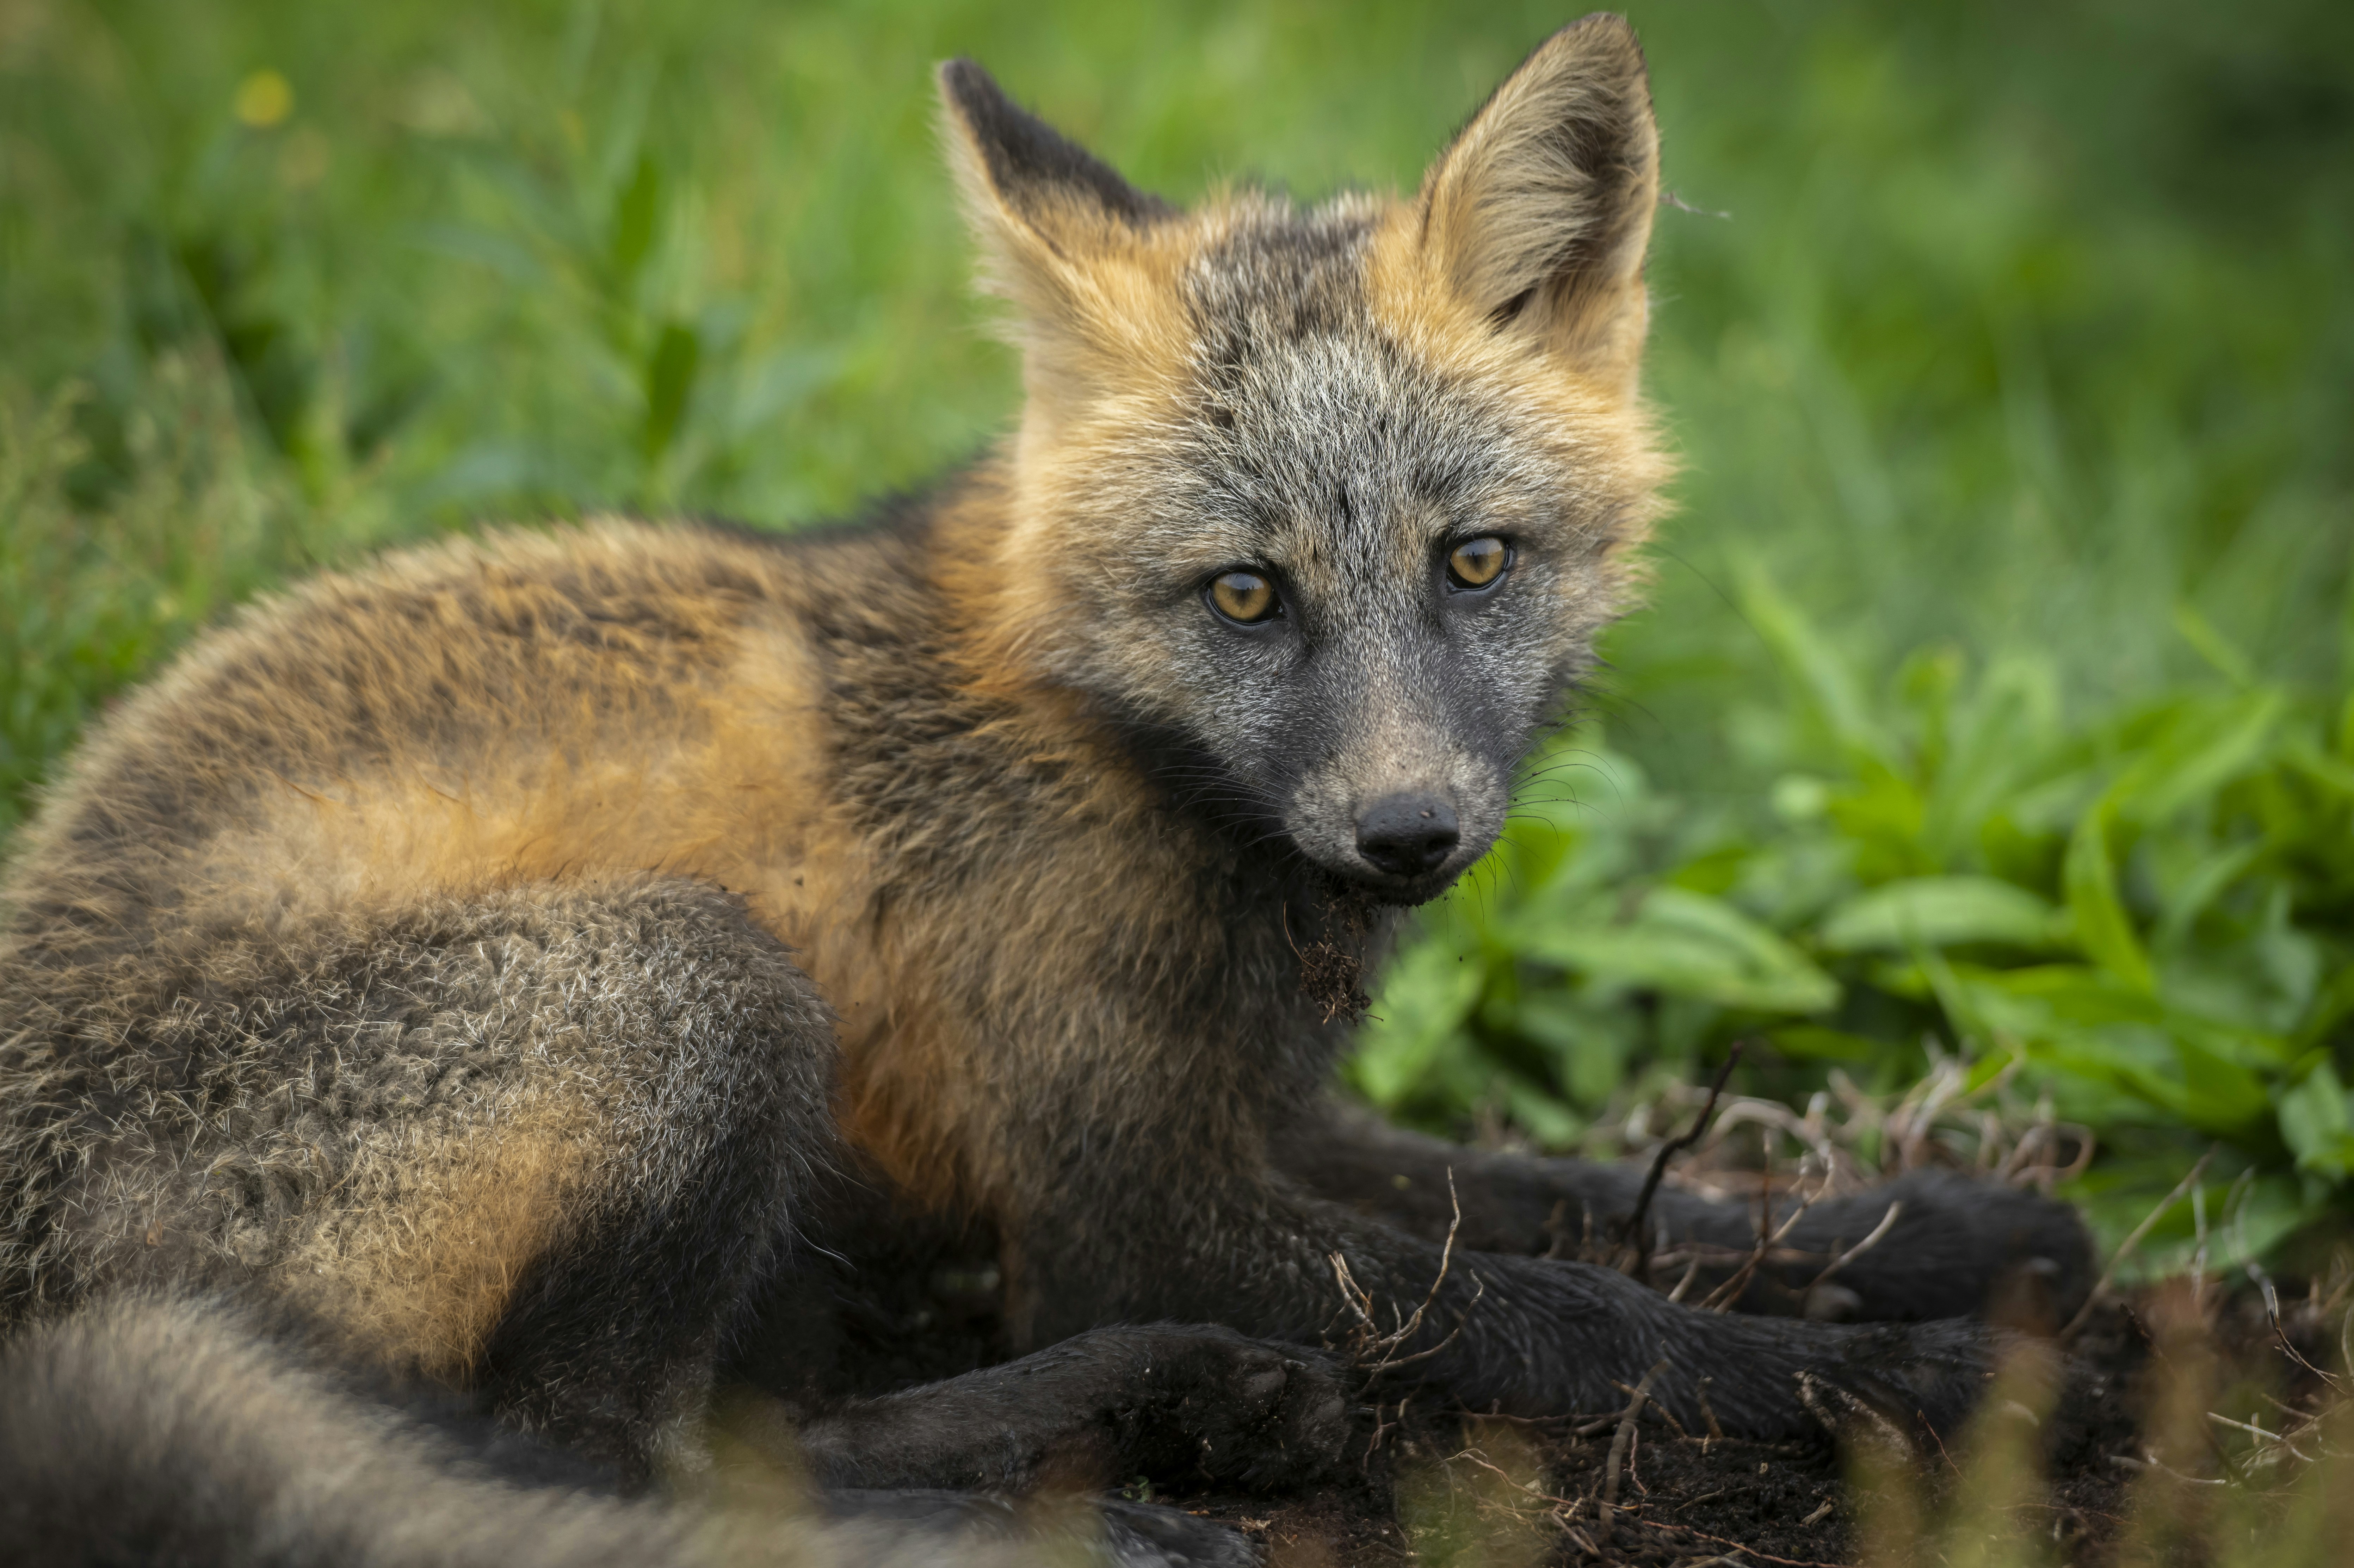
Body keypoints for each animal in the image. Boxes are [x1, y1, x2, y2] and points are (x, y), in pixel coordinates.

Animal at [0, 15, 2091, 1566]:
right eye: (1244, 593)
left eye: (1474, 563)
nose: (1408, 835)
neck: (1112, 754)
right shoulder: (1128, 1200)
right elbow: (1577, 1311)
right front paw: (1937, 1381)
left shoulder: (1250, 1107)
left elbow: (1584, 1199)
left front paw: (1945, 1232)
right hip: (703, 978)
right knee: (628, 1459)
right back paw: (1111, 1490)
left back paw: (1194, 1413)